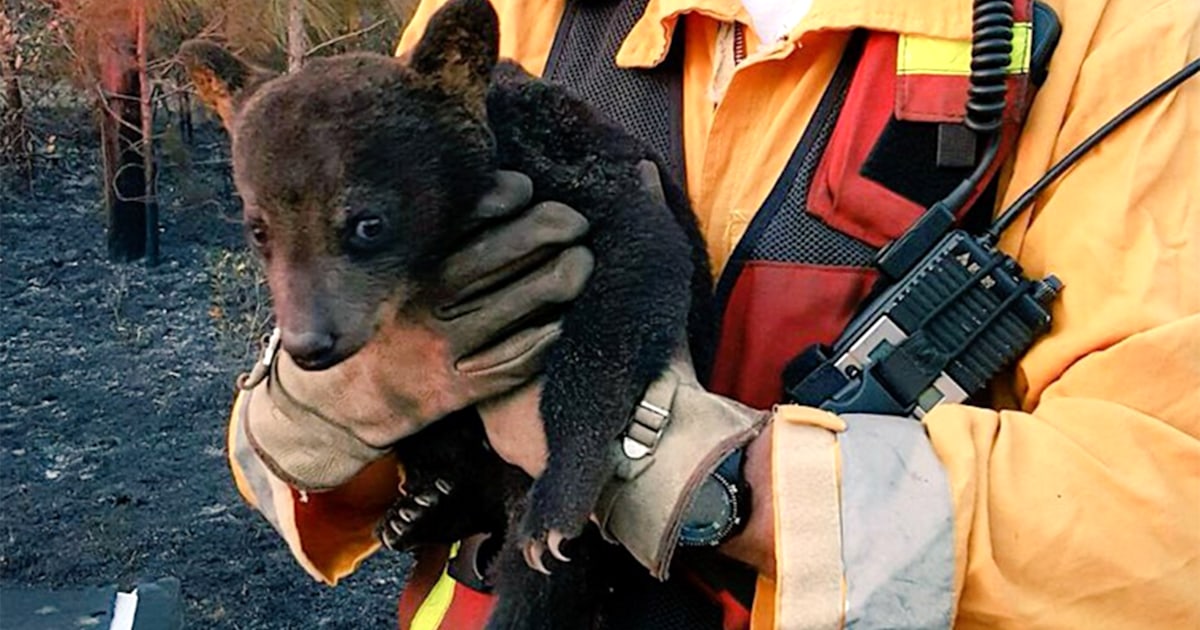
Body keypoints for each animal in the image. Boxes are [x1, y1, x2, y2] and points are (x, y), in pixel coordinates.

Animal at [179, 0, 714, 627]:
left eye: (368, 223)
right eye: (258, 228)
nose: (310, 344)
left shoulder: (580, 176)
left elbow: (638, 271)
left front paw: (557, 501)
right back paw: (422, 508)